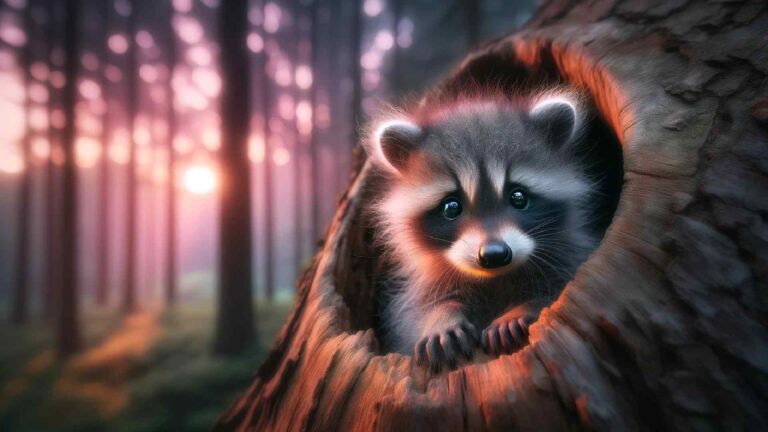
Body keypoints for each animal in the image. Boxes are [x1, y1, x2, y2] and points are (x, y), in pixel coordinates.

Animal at [364, 90, 615, 371]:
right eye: (451, 206)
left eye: (518, 197)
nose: (494, 254)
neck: (494, 277)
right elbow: (421, 309)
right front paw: (441, 318)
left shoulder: (571, 258)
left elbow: (557, 290)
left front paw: (524, 308)